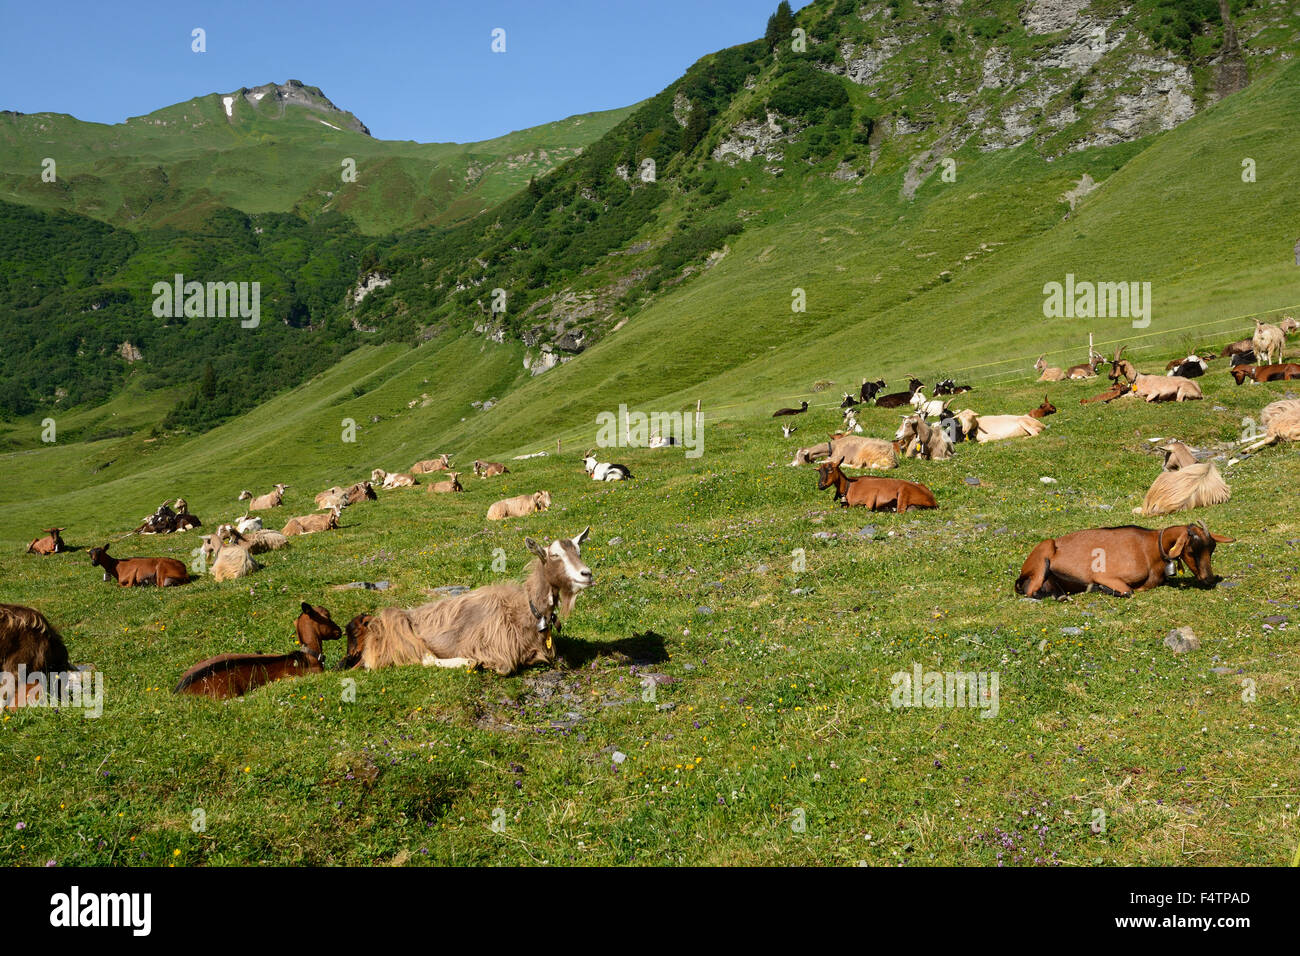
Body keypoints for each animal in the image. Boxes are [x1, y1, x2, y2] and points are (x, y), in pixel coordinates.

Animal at [342, 529, 592, 676]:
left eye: (579, 551)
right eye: (554, 555)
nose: (587, 574)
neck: (526, 610)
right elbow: (504, 667)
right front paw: (480, 662)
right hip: (400, 631)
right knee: (424, 658)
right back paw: (468, 662)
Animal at [1015, 521, 1232, 598]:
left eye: (1212, 549)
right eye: (1191, 550)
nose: (1209, 579)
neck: (1150, 548)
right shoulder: (1106, 576)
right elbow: (1128, 591)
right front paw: (1099, 588)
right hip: (1044, 552)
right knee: (1032, 591)